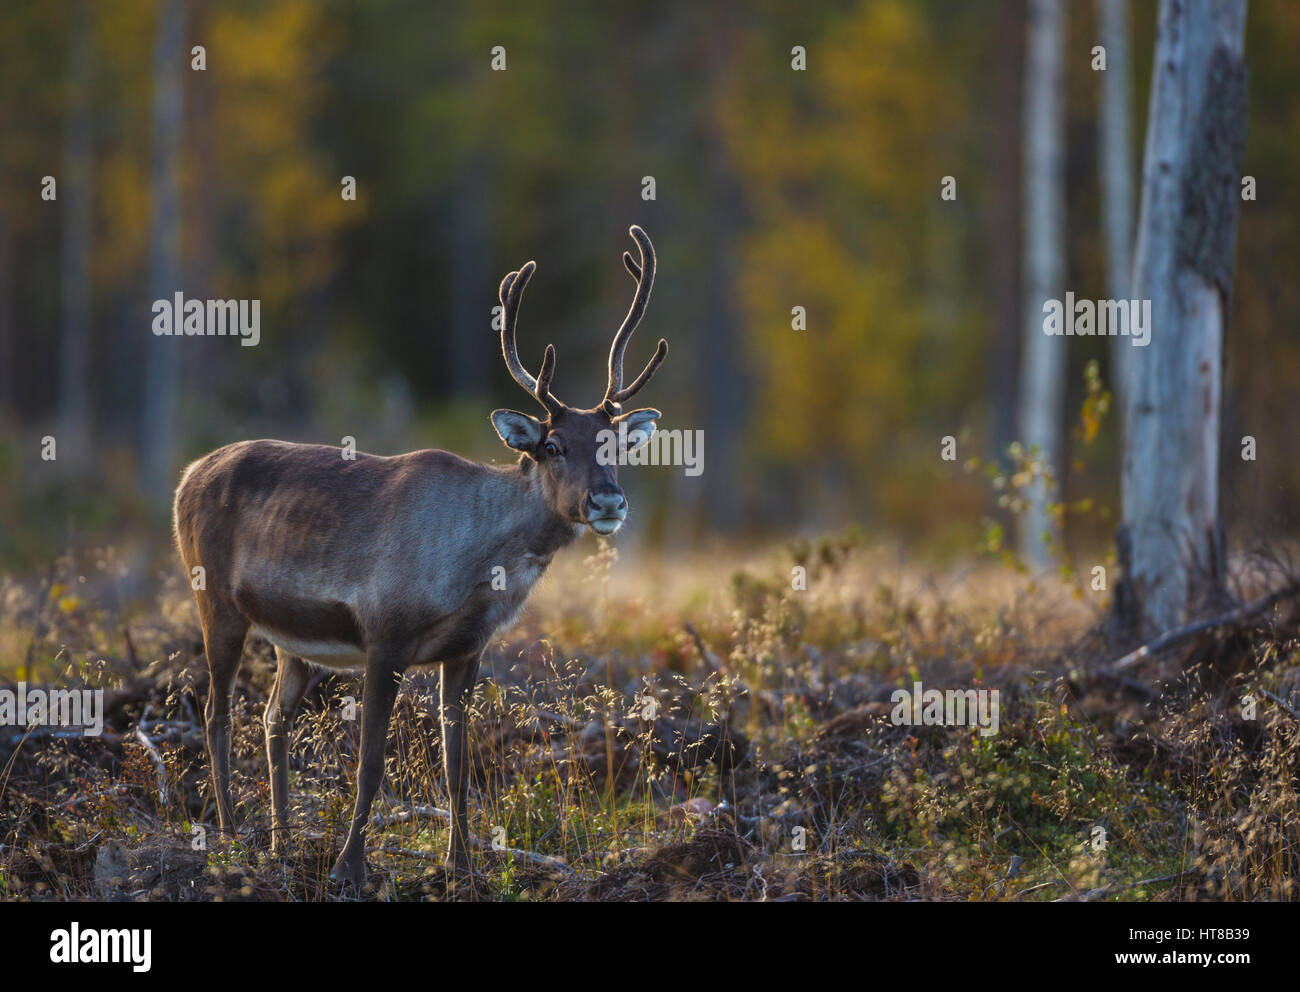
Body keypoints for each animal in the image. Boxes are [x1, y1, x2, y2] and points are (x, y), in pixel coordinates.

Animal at [173, 225, 667, 886]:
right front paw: (349, 868)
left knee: (273, 720)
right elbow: (371, 764)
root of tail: (187, 475)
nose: (608, 499)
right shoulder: (385, 635)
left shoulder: (465, 651)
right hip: (215, 601)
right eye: (553, 445)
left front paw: (462, 866)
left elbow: (457, 767)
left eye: (615, 443)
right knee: (216, 714)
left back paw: (281, 841)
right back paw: (231, 837)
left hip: (289, 642)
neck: (475, 570)